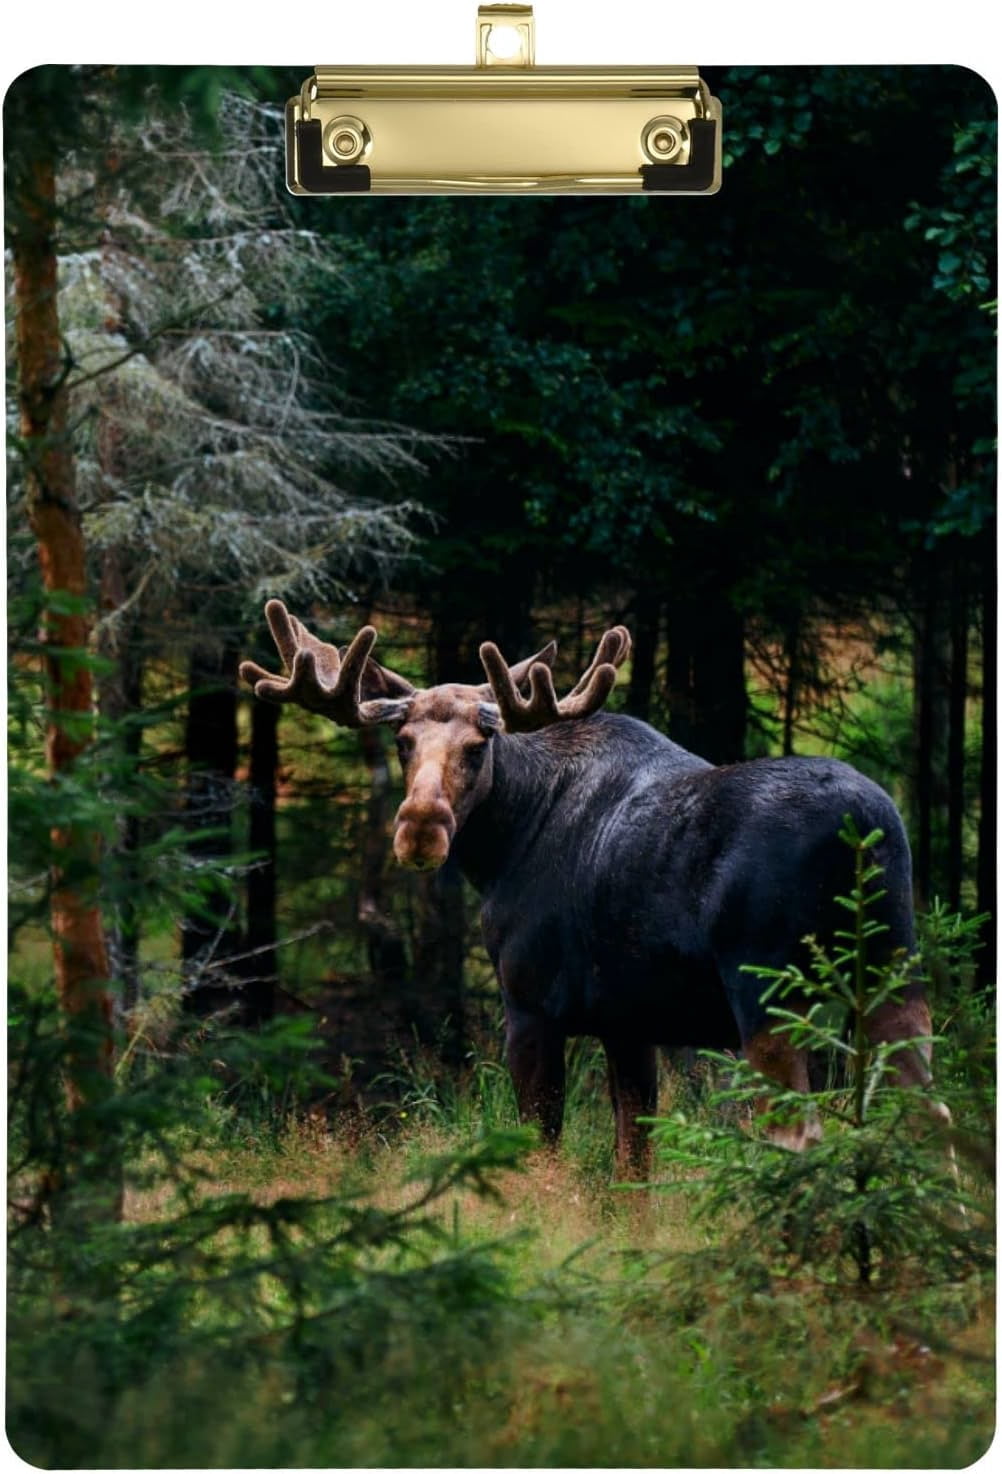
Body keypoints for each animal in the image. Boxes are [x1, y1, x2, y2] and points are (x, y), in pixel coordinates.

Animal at [241, 600, 942, 1177]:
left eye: (479, 744)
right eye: (404, 740)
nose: (420, 829)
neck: (504, 846)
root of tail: (864, 829)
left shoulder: (530, 1007)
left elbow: (543, 1155)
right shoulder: (628, 1022)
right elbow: (634, 1166)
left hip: (769, 991)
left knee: (801, 1133)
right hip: (894, 973)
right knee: (927, 1117)